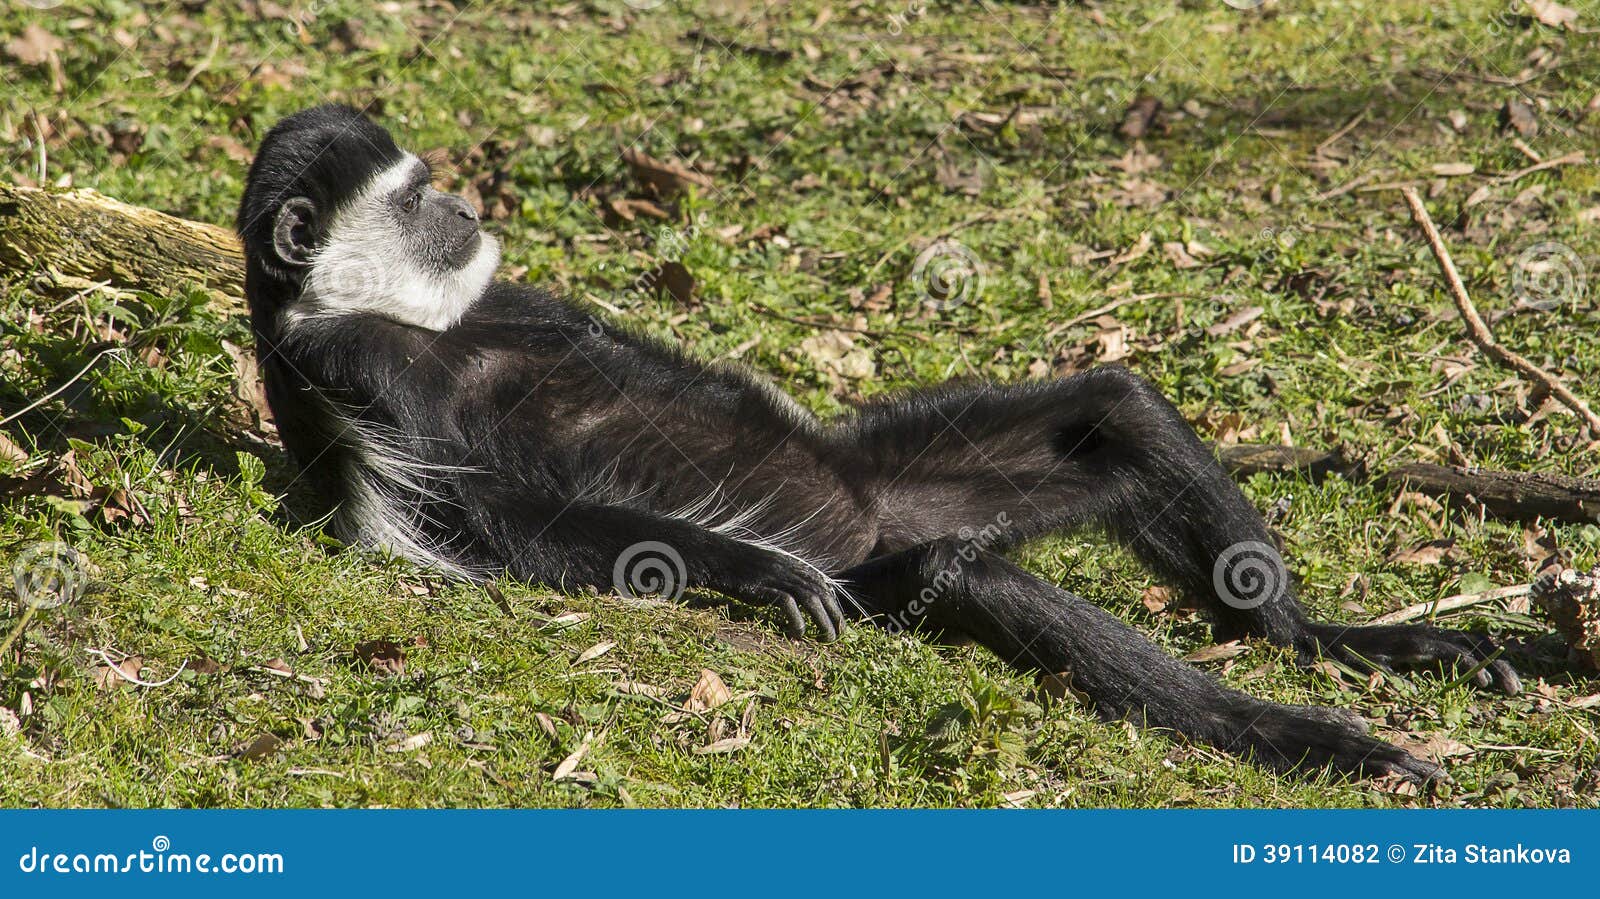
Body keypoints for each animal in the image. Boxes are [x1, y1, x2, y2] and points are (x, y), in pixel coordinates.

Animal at [237, 104, 1519, 785]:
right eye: (413, 199)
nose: (463, 210)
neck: (396, 309)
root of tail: (869, 513)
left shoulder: (490, 300)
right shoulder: (352, 373)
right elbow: (504, 520)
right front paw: (758, 569)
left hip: (911, 469)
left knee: (1113, 406)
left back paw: (1327, 642)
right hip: (894, 556)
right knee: (961, 570)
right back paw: (1311, 740)